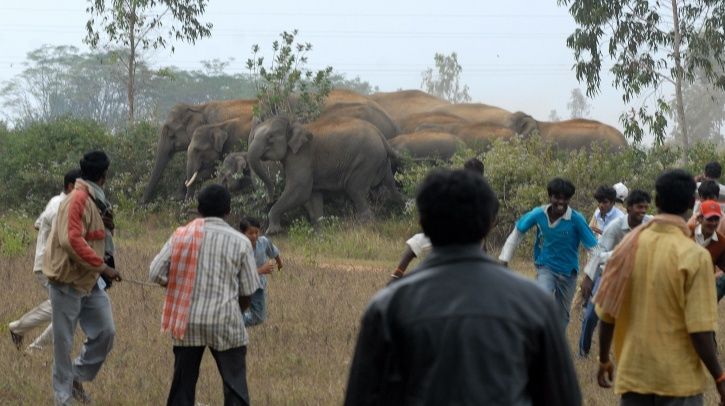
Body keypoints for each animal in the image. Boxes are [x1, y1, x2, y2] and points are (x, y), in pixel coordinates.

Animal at [246, 115, 403, 234]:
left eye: (270, 137)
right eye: (253, 136)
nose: (268, 198)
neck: (294, 125)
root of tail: (381, 135)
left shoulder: (301, 157)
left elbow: (300, 191)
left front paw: (273, 232)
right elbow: (312, 196)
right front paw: (319, 235)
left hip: (366, 161)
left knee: (355, 190)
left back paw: (364, 227)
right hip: (381, 161)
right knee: (391, 188)